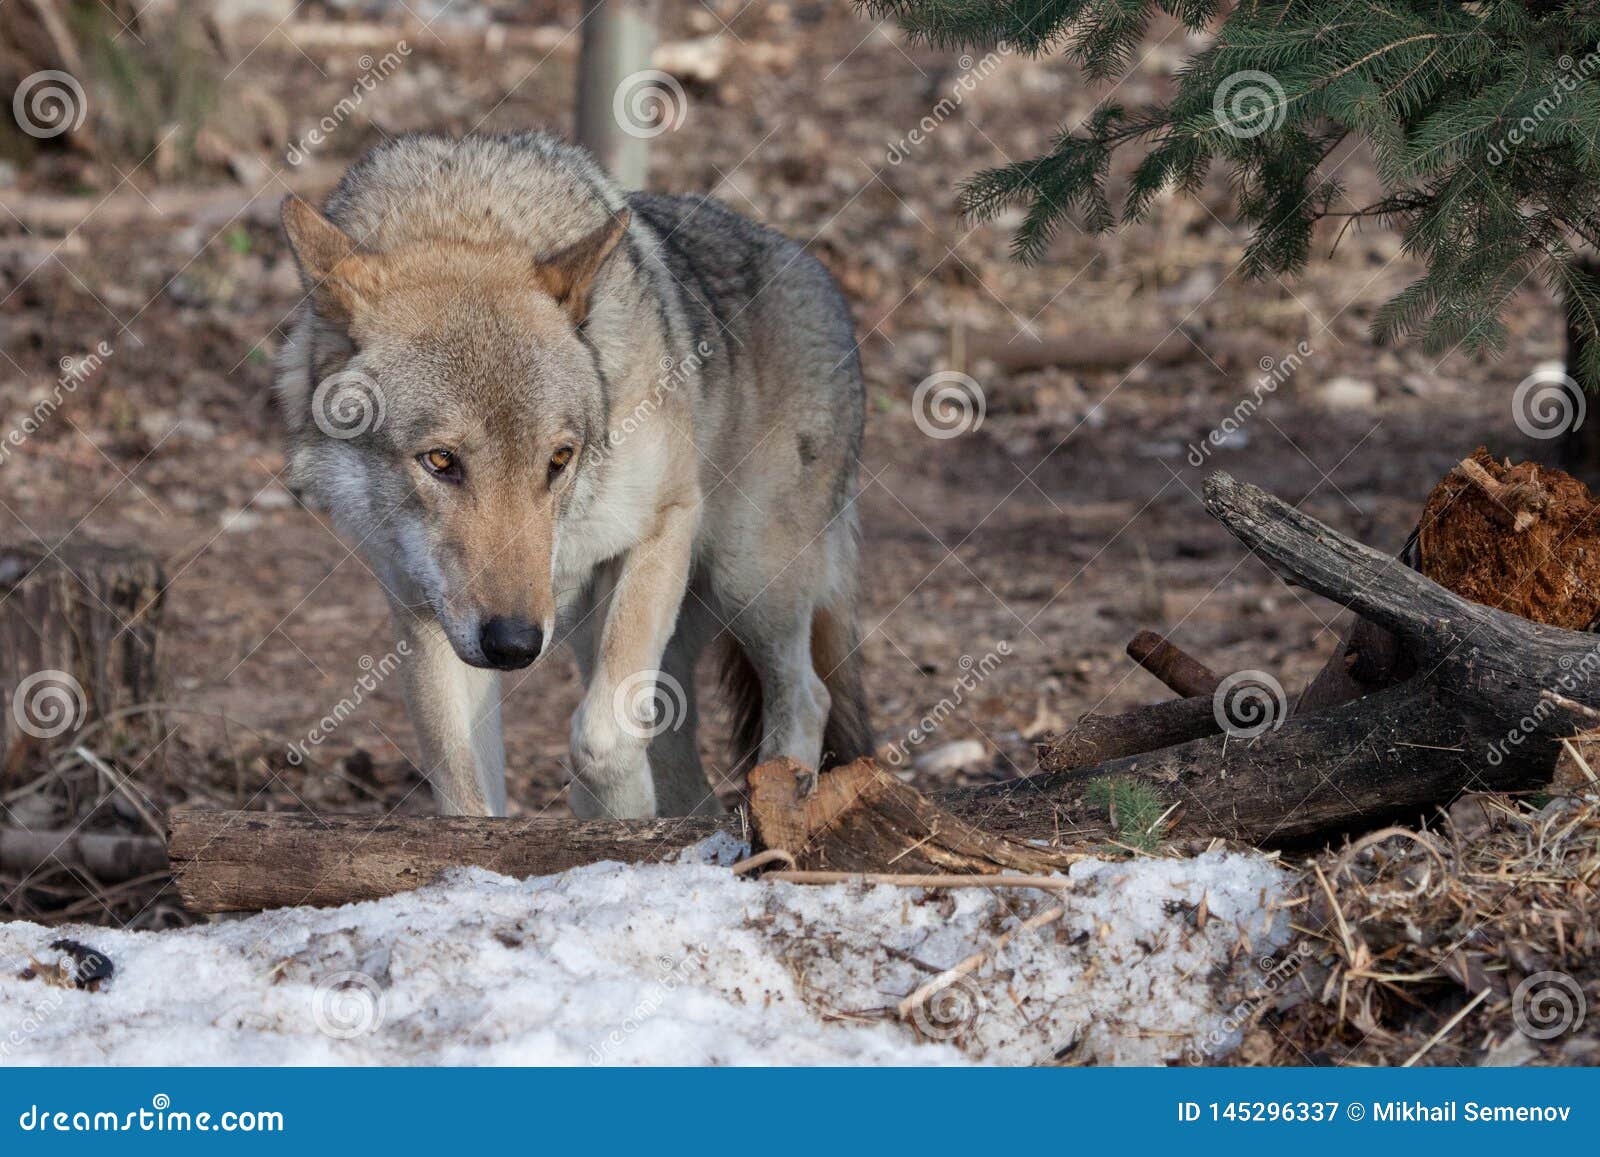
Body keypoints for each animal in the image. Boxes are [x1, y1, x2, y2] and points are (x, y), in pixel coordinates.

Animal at [275, 132, 871, 819]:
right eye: (441, 462)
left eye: (558, 461)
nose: (514, 645)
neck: (468, 216)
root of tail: (813, 268)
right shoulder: (426, 612)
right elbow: (465, 796)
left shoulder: (667, 521)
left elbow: (601, 739)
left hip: (747, 582)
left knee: (808, 698)